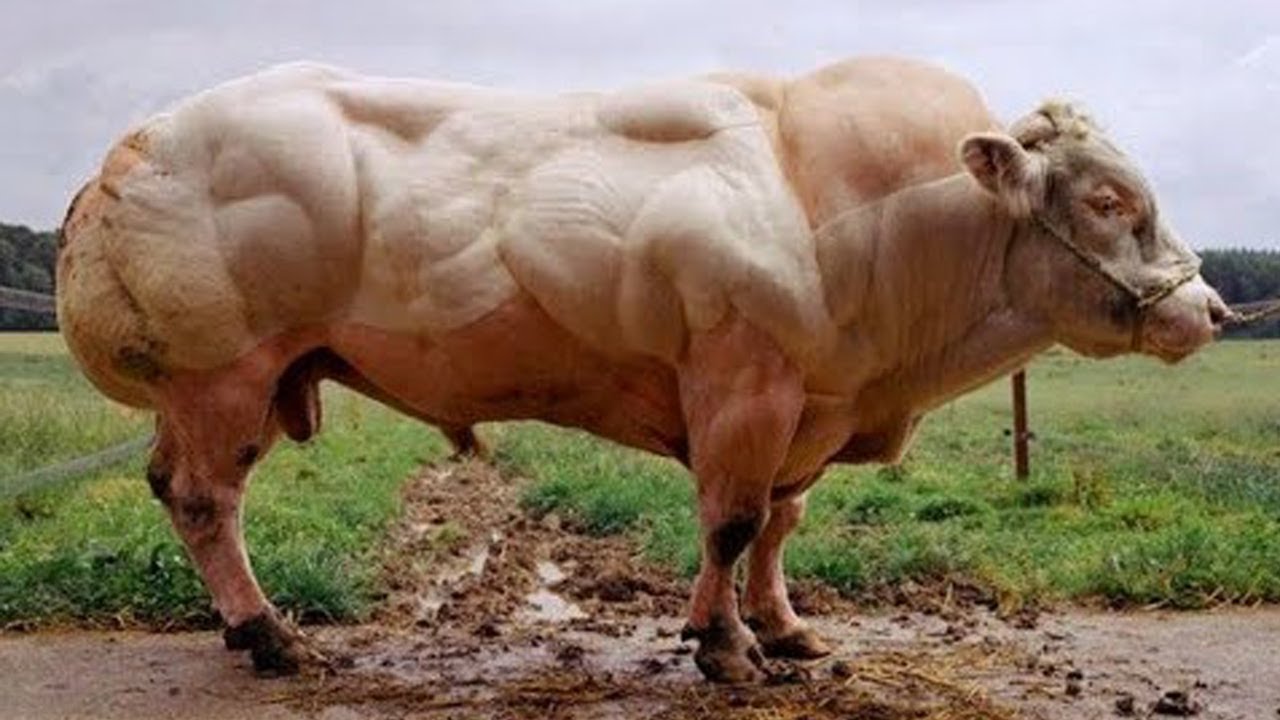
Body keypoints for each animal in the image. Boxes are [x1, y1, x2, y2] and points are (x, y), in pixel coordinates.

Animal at [57, 56, 1229, 683]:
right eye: (1110, 202)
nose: (1211, 310)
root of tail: (137, 142)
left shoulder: (805, 406)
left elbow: (779, 527)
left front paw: (783, 629)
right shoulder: (744, 388)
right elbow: (730, 521)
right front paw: (722, 645)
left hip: (238, 382)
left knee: (178, 490)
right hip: (222, 373)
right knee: (205, 501)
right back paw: (269, 635)